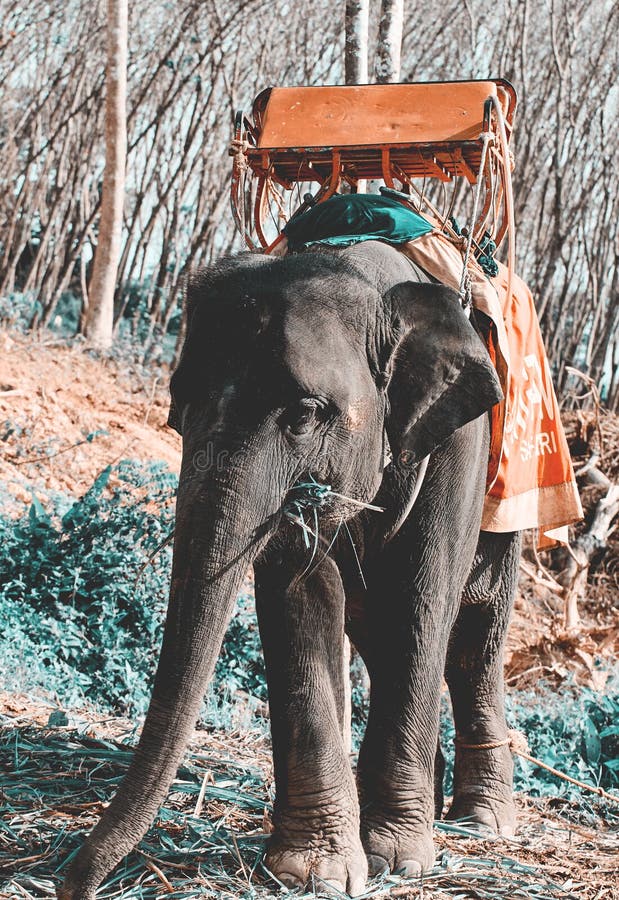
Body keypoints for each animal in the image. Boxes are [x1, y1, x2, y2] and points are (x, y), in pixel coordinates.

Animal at [59, 240, 521, 898]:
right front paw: (316, 871)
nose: (68, 884)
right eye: (177, 416)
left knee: (473, 632)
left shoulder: (462, 441)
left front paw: (399, 860)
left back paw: (482, 822)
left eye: (304, 413)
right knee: (375, 629)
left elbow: (422, 596)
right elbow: (303, 592)